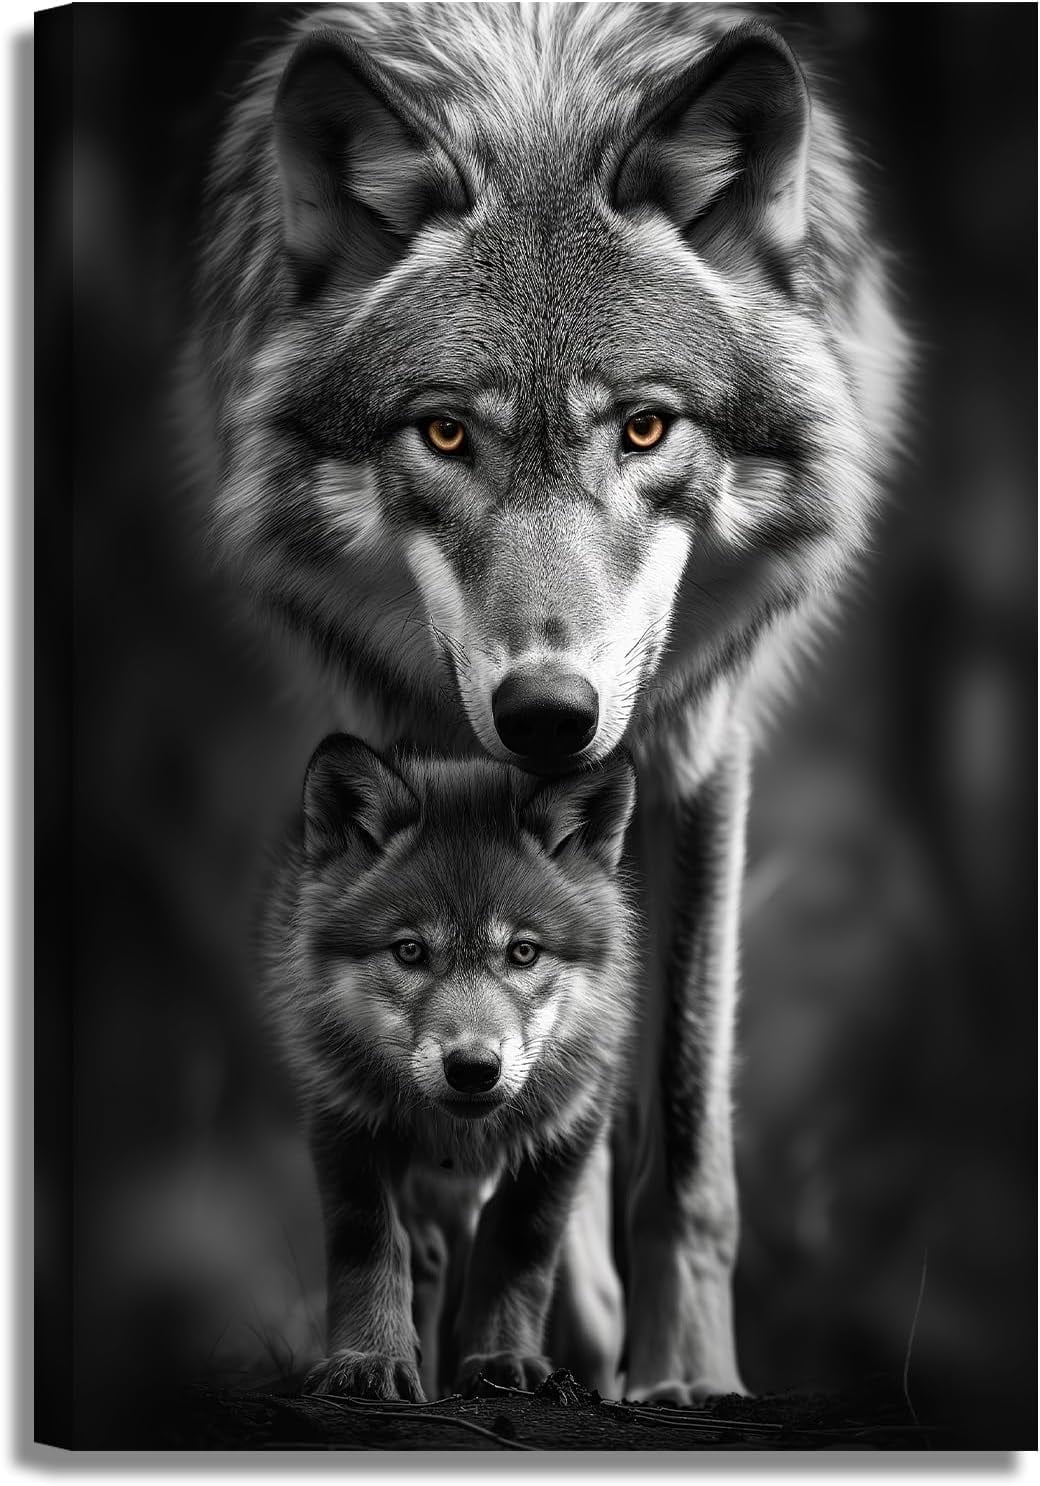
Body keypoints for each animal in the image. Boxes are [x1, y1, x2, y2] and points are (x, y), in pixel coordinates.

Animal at [261, 734, 635, 1400]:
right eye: (410, 951)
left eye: (523, 952)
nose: (473, 1068)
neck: (459, 1138)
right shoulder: (344, 1119)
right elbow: (370, 1248)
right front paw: (370, 1359)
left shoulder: (567, 1129)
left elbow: (517, 1250)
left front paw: (502, 1359)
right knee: (427, 1256)